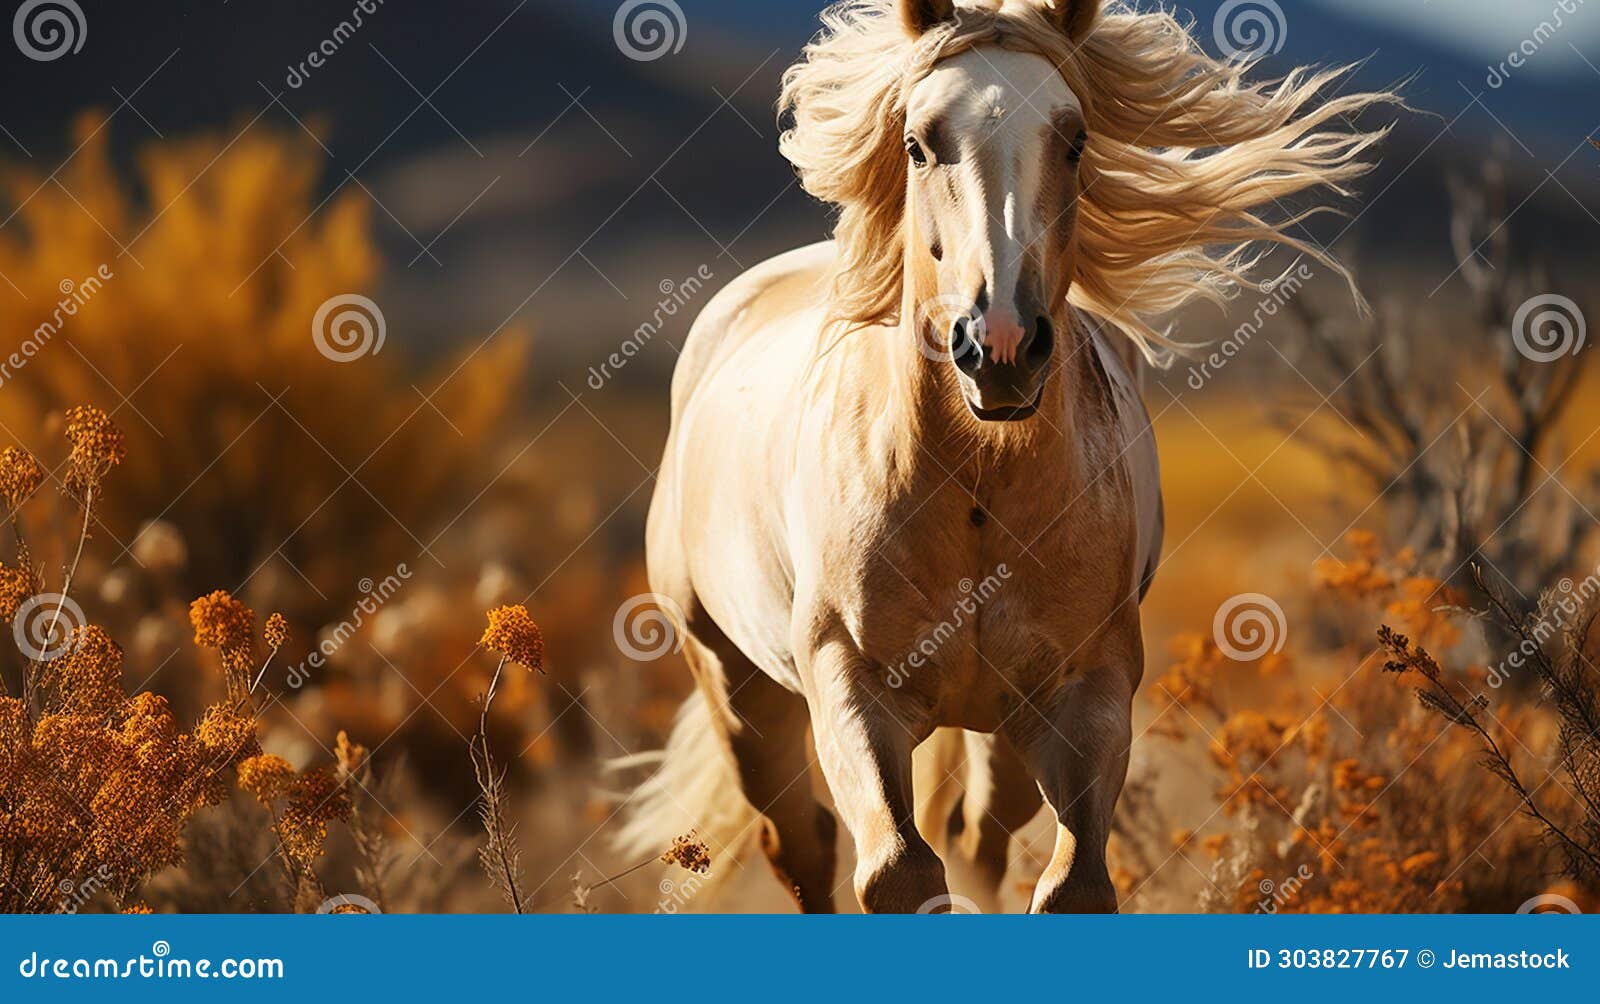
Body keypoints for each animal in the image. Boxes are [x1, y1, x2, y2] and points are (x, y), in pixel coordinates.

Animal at [617, 0, 1393, 912]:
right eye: (918, 142)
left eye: (1075, 138)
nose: (1001, 345)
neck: (978, 483)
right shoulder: (850, 685)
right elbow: (900, 870)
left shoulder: (1084, 693)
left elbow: (1069, 884)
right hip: (737, 684)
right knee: (803, 847)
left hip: (994, 729)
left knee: (974, 840)